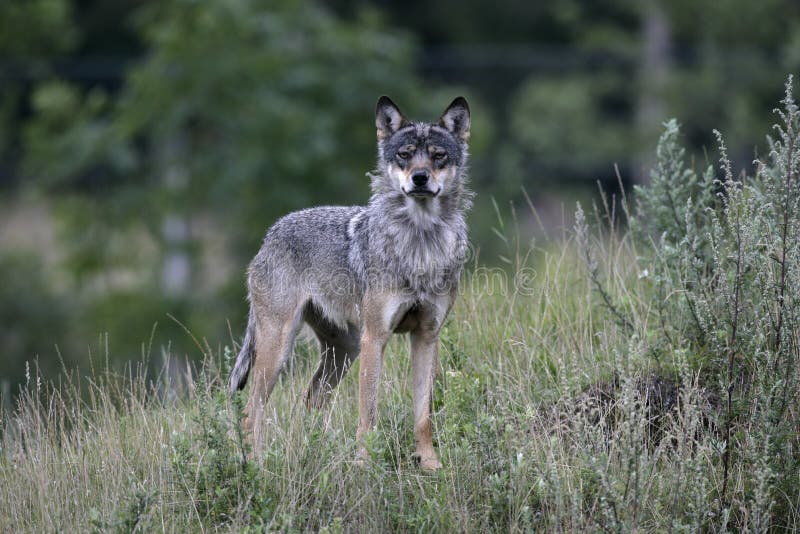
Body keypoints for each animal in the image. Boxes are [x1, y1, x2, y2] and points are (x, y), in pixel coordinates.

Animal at [229, 96, 471, 470]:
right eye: (405, 154)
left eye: (438, 155)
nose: (419, 178)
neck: (419, 245)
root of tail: (270, 234)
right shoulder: (376, 338)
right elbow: (367, 415)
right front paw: (365, 465)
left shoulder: (427, 336)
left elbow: (423, 414)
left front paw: (430, 464)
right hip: (280, 349)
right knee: (251, 411)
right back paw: (257, 466)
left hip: (344, 351)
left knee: (310, 398)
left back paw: (315, 453)